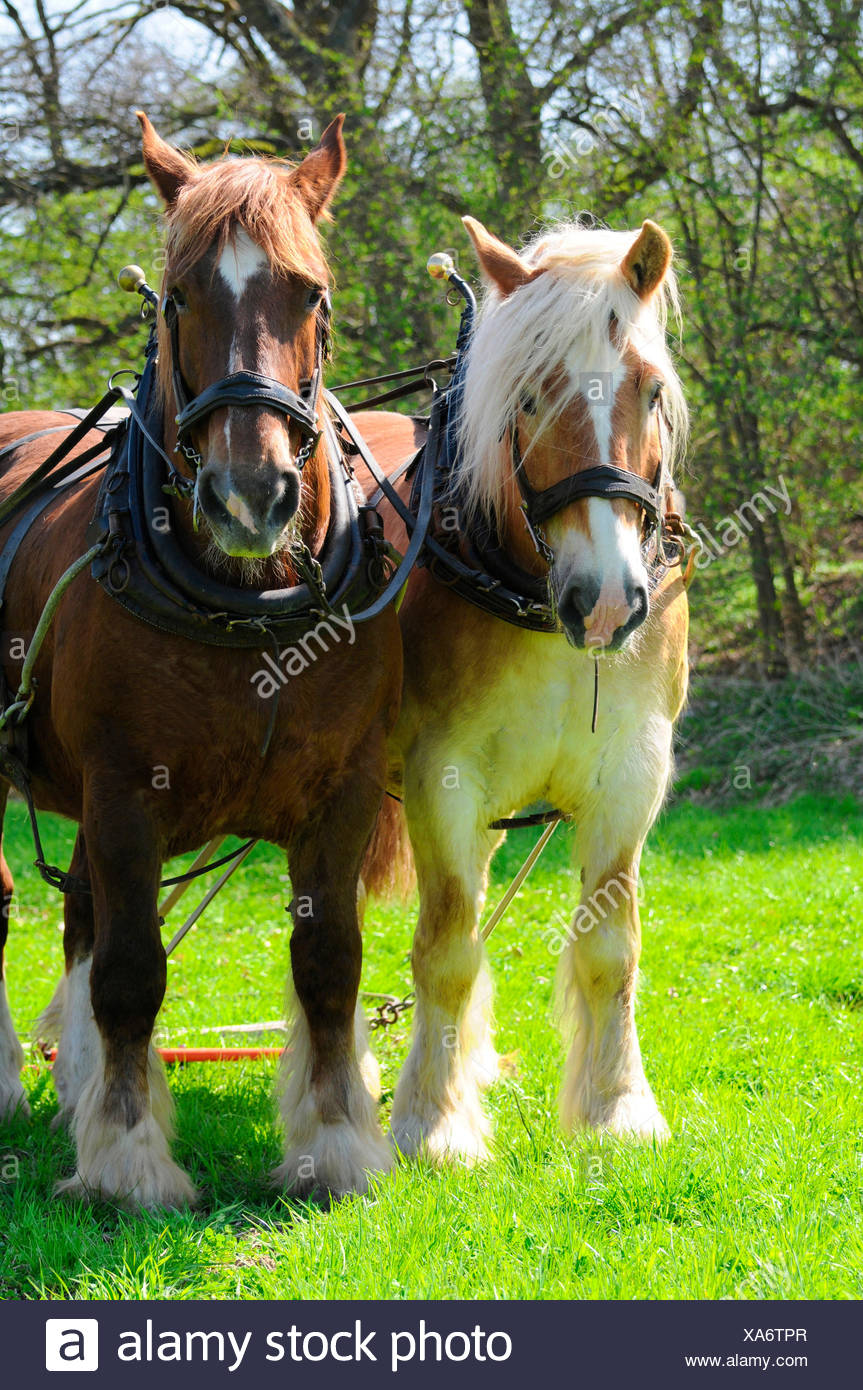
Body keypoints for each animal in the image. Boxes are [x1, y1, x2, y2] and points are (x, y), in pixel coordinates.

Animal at [0, 114, 402, 1206]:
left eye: (311, 292)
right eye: (179, 296)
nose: (247, 494)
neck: (243, 610)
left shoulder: (342, 793)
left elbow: (328, 962)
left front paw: (335, 1145)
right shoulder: (124, 791)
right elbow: (134, 971)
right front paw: (129, 1158)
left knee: (78, 911)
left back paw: (76, 1083)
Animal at [357, 214, 690, 1162]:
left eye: (650, 391)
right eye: (531, 398)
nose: (606, 599)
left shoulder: (630, 775)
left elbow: (611, 948)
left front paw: (617, 1108)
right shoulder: (442, 778)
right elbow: (444, 948)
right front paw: (432, 1126)